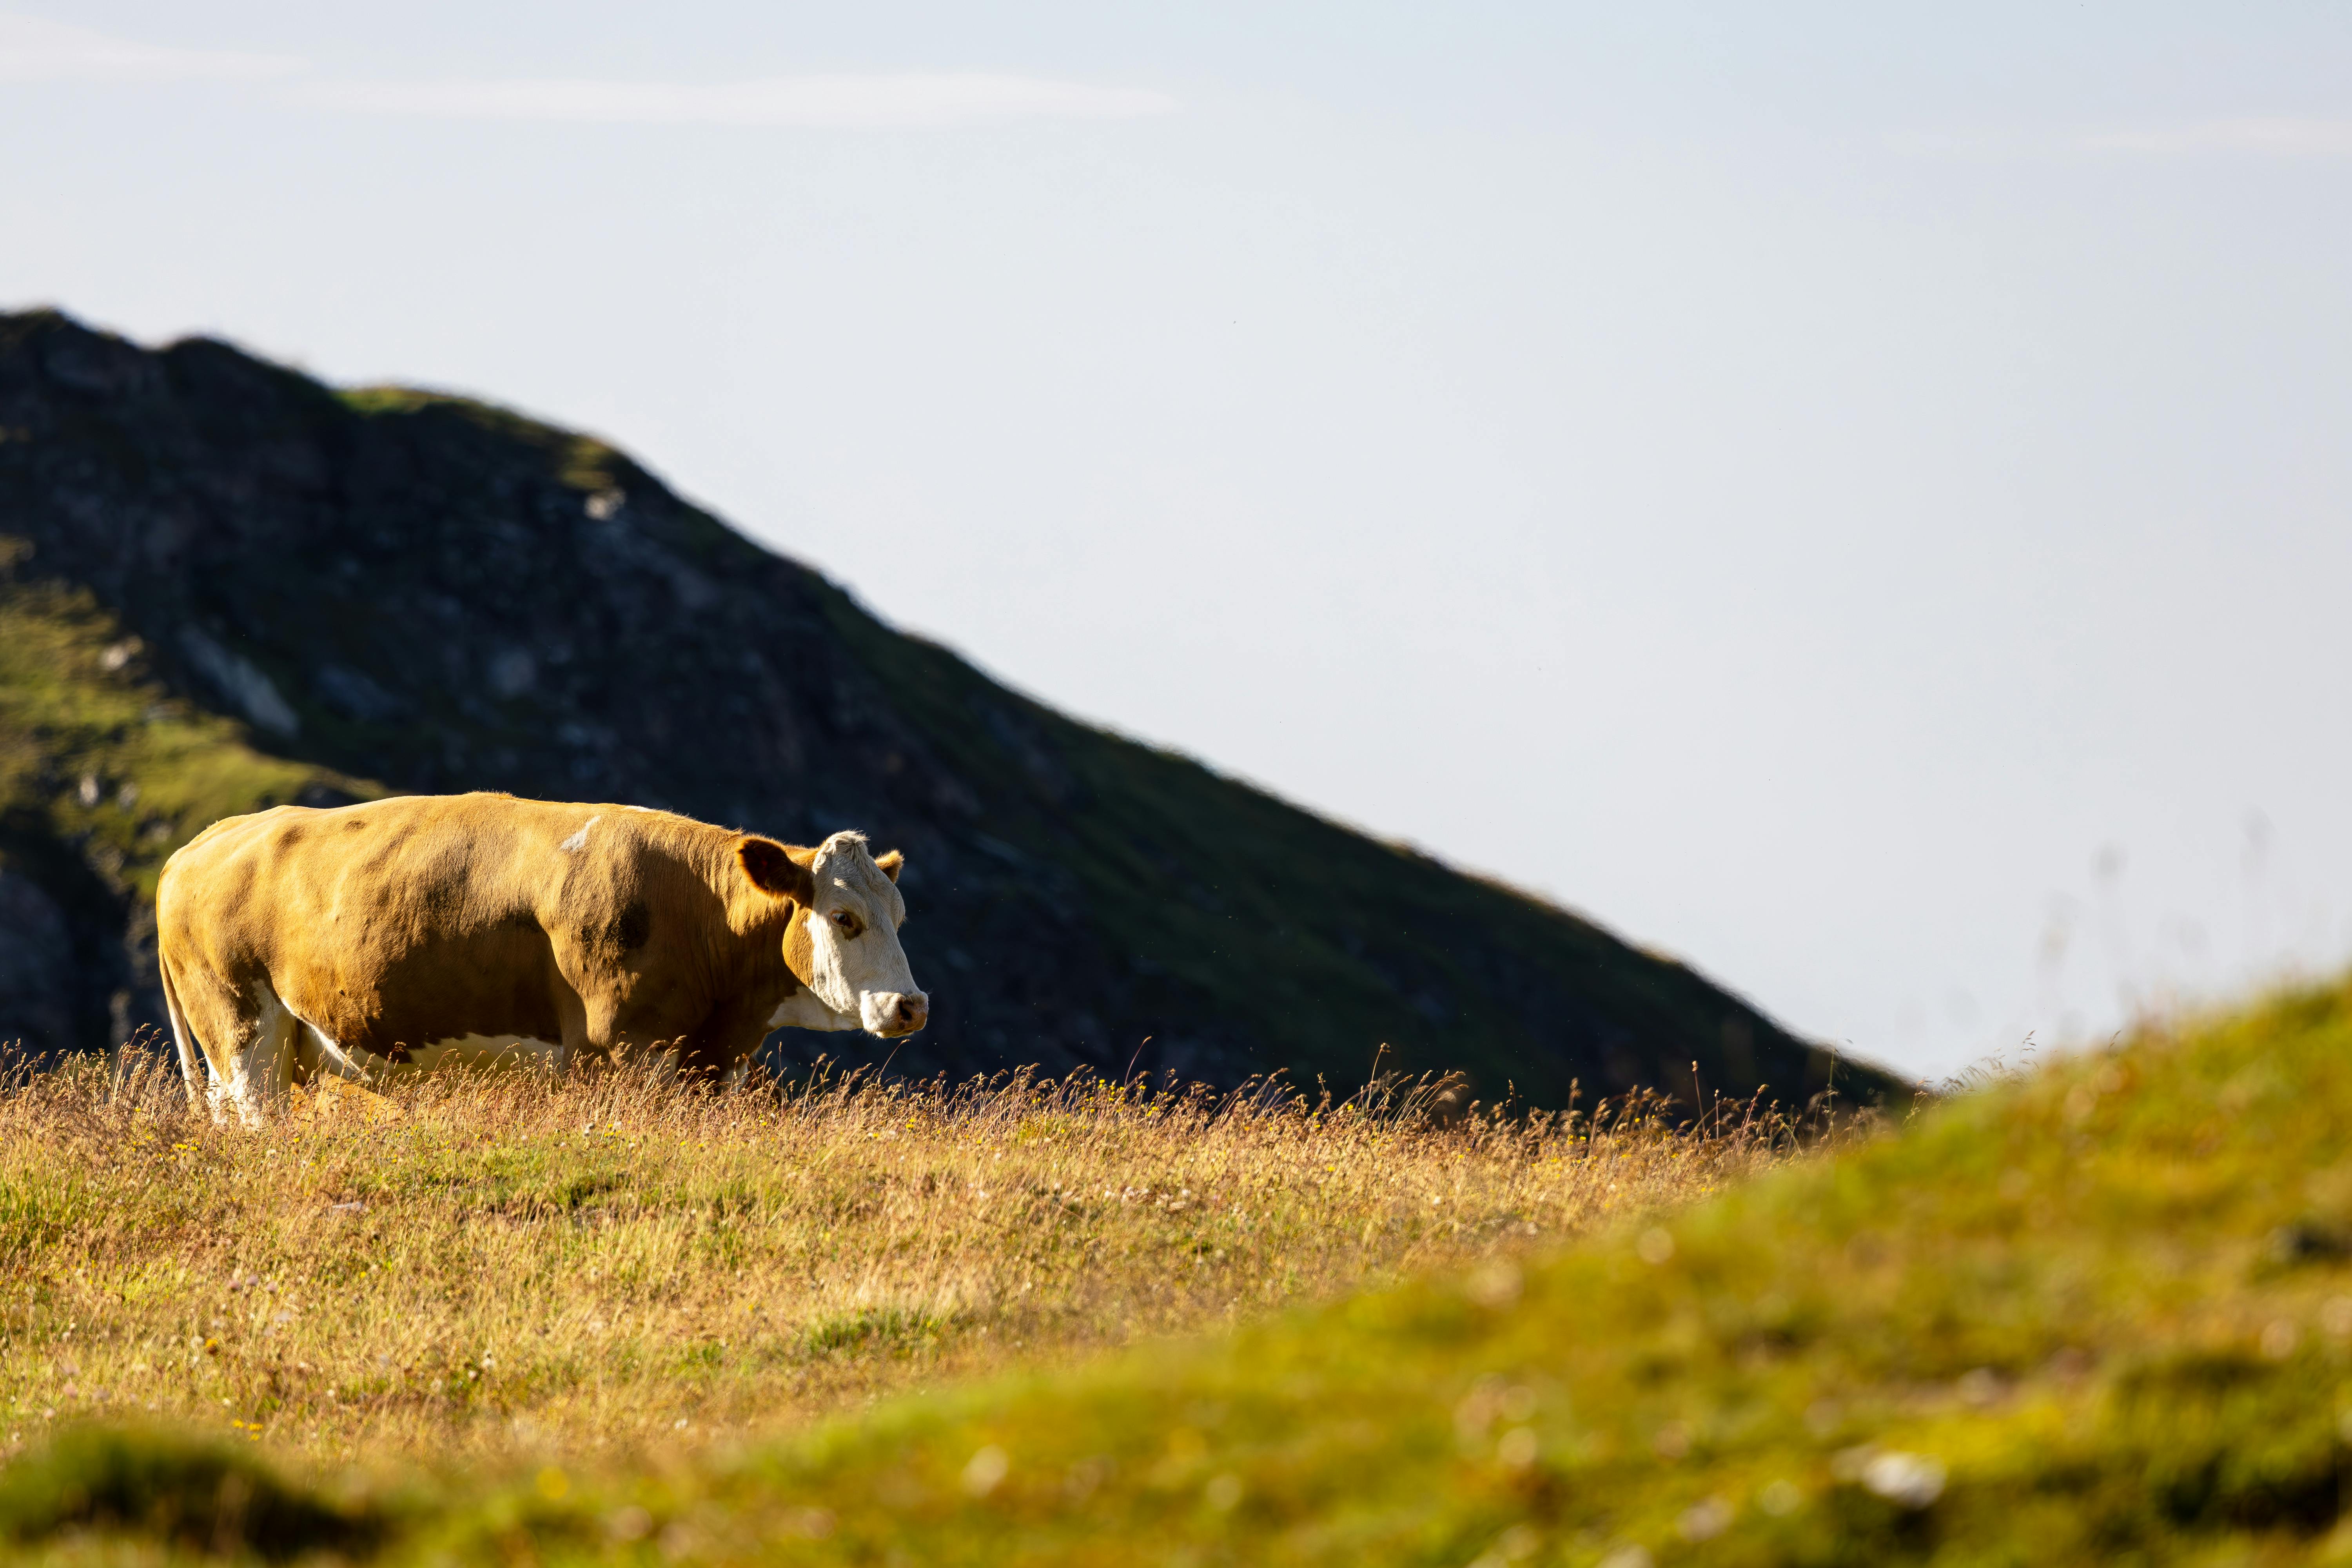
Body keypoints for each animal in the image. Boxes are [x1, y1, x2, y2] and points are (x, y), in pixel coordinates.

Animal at [154, 792, 927, 1124]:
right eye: (845, 919)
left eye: (900, 917)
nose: (910, 1005)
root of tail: (206, 840)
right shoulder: (613, 1052)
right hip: (242, 1038)